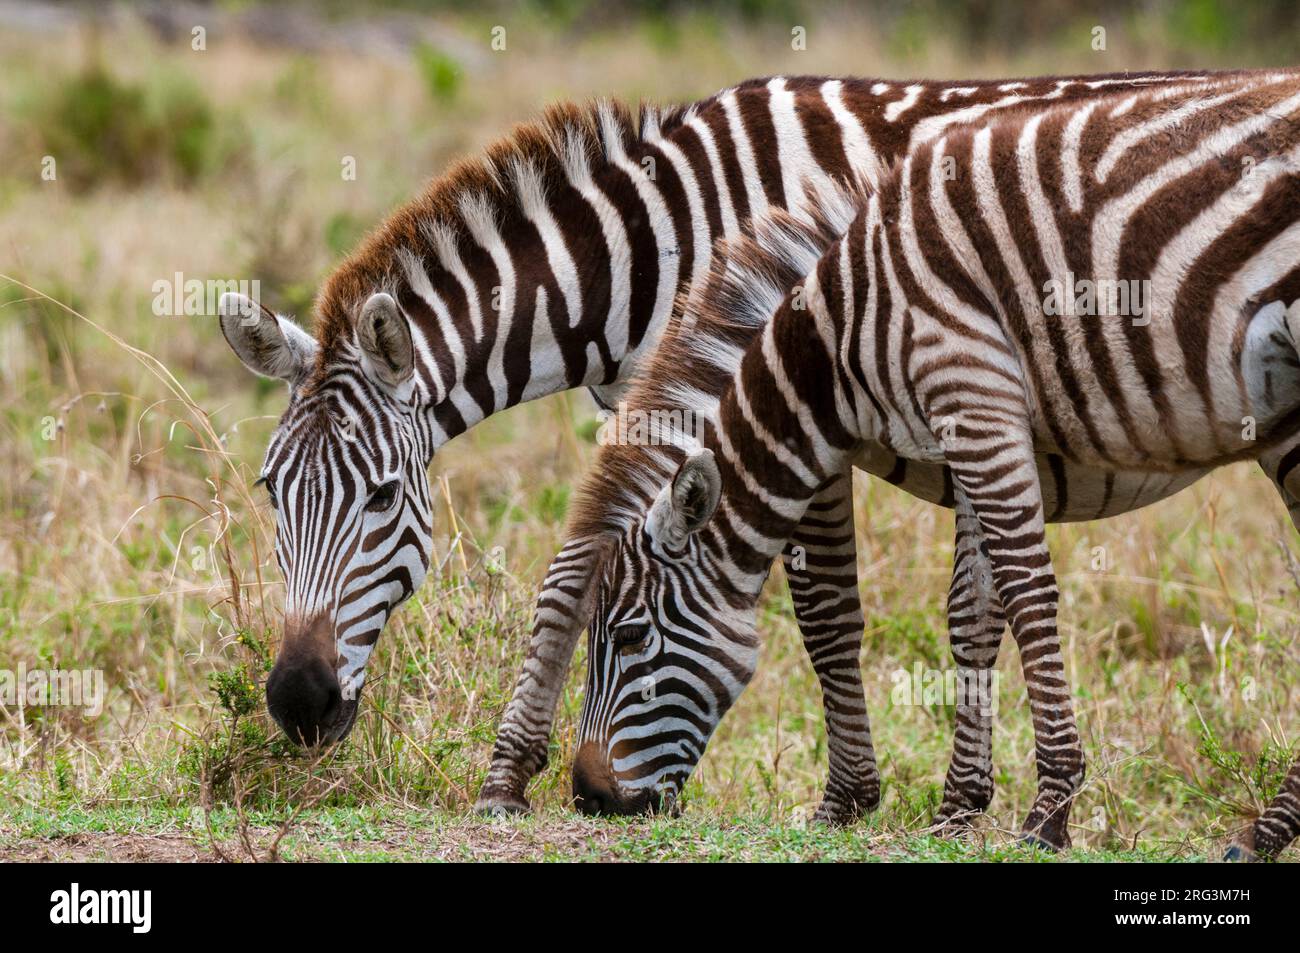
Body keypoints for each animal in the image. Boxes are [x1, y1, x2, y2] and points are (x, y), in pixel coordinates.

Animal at [564, 72, 1300, 859]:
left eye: (631, 637)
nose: (587, 799)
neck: (843, 333)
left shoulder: (969, 385)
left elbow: (1027, 594)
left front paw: (1048, 810)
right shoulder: (978, 423)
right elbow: (975, 609)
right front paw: (961, 811)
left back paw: (1264, 829)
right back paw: (1267, 830)